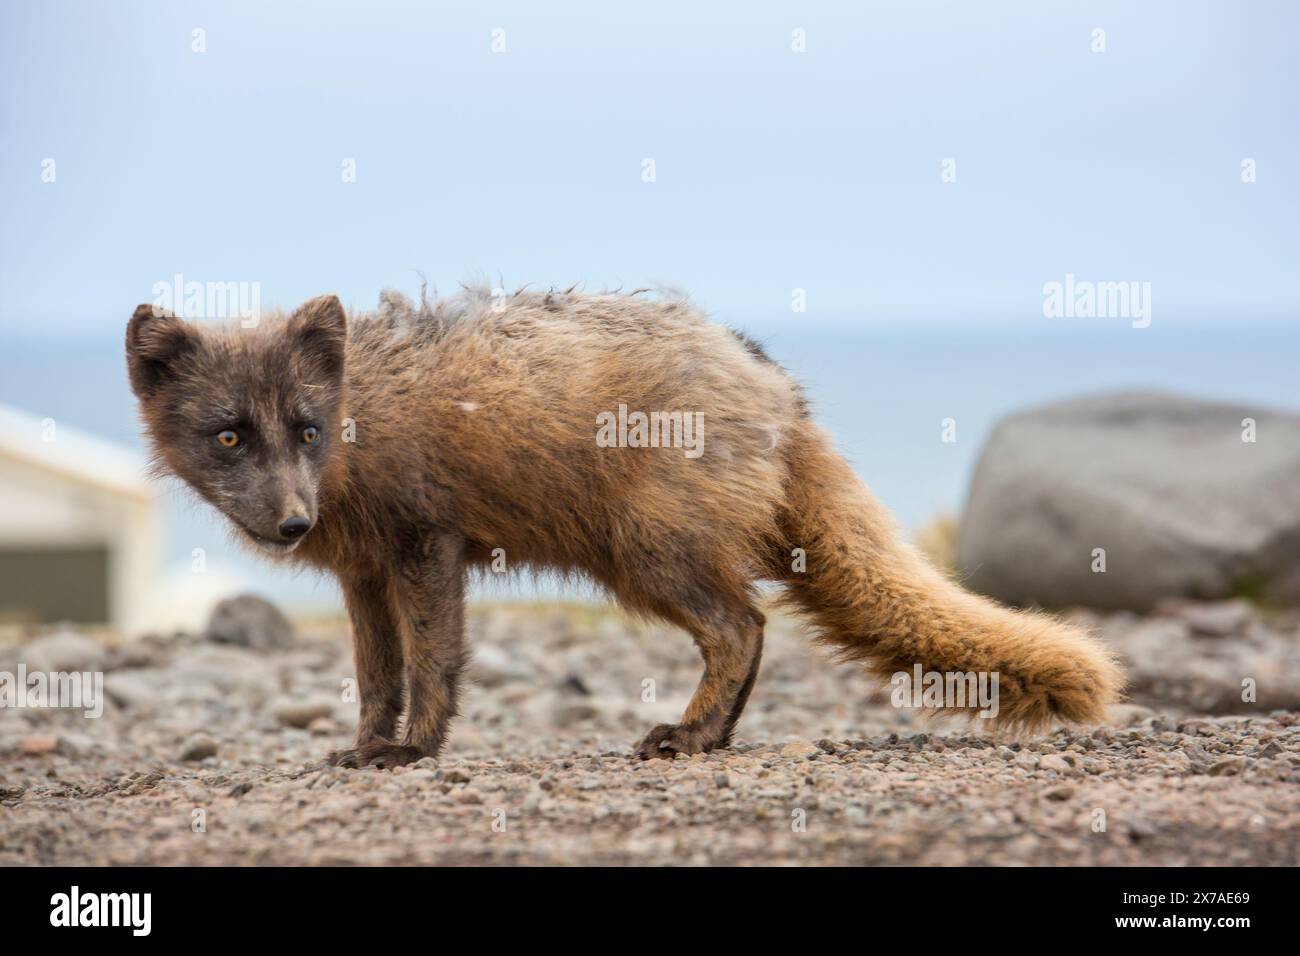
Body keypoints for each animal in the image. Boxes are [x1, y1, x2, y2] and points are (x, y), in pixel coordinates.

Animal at [126, 286, 1123, 769]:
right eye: (229, 435)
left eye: (305, 429)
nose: (293, 523)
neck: (359, 417)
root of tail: (773, 379)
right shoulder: (362, 573)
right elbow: (377, 678)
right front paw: (370, 745)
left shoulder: (425, 546)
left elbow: (434, 667)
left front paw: (412, 753)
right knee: (750, 631)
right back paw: (710, 738)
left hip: (644, 555)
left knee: (743, 626)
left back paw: (688, 736)